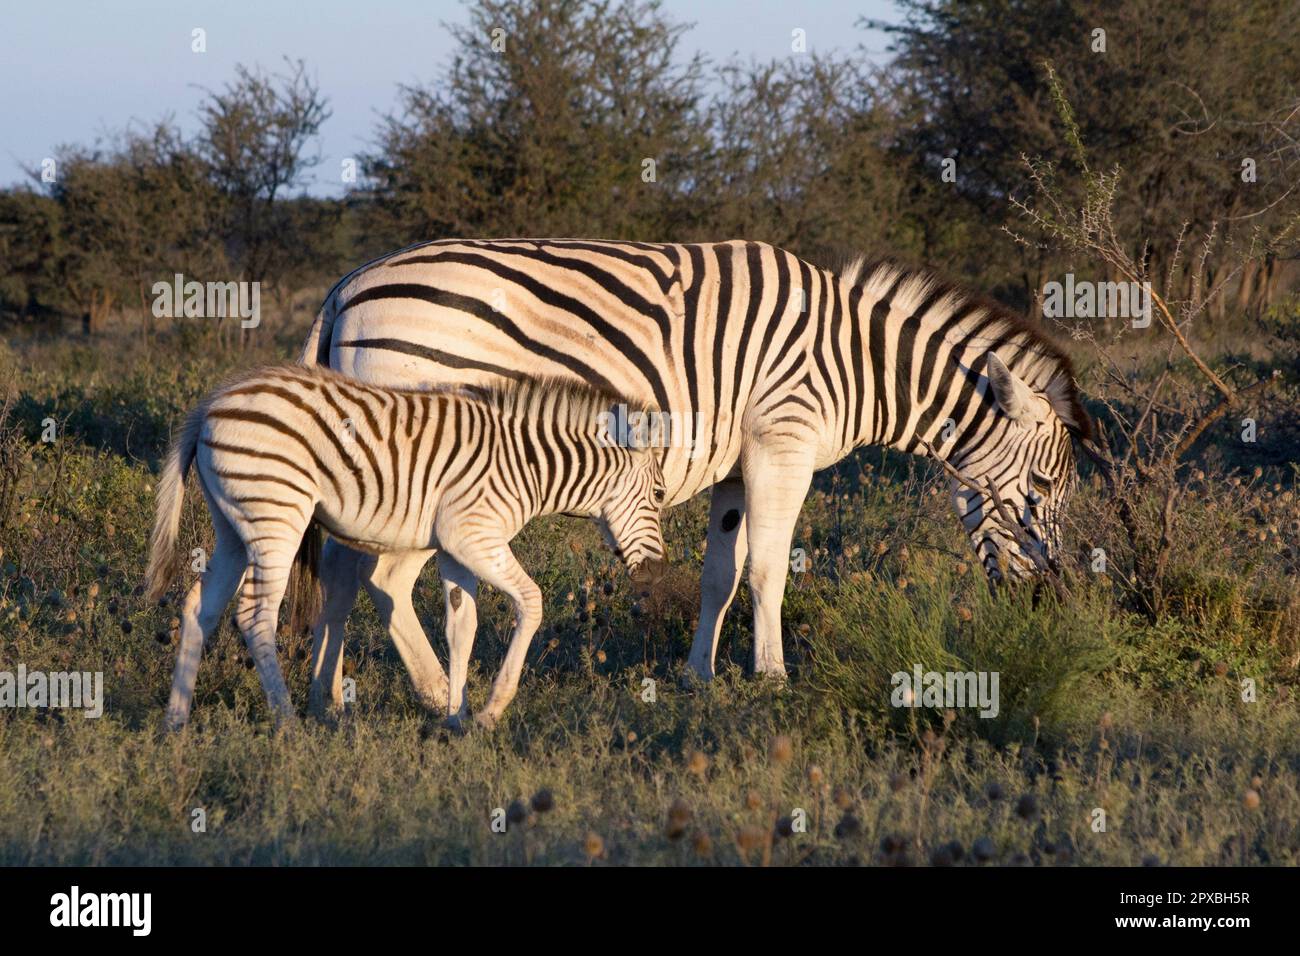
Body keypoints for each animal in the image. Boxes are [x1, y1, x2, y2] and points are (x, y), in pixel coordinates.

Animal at [144, 364, 668, 729]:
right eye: (660, 495)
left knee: (199, 606)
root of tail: (210, 404)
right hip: (277, 515)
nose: (658, 571)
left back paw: (175, 722)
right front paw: (490, 711)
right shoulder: (474, 535)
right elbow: (531, 602)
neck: (526, 464)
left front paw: (456, 718)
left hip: (234, 527)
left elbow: (462, 626)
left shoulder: (456, 547)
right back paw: (287, 722)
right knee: (254, 615)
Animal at [298, 239, 1092, 706]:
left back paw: (327, 695)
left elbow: (723, 572)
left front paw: (698, 676)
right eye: (1042, 491)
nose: (1051, 605)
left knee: (342, 575)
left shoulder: (737, 470)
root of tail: (346, 283)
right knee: (378, 578)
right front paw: (772, 677)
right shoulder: (783, 441)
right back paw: (434, 692)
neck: (856, 363)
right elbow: (769, 567)